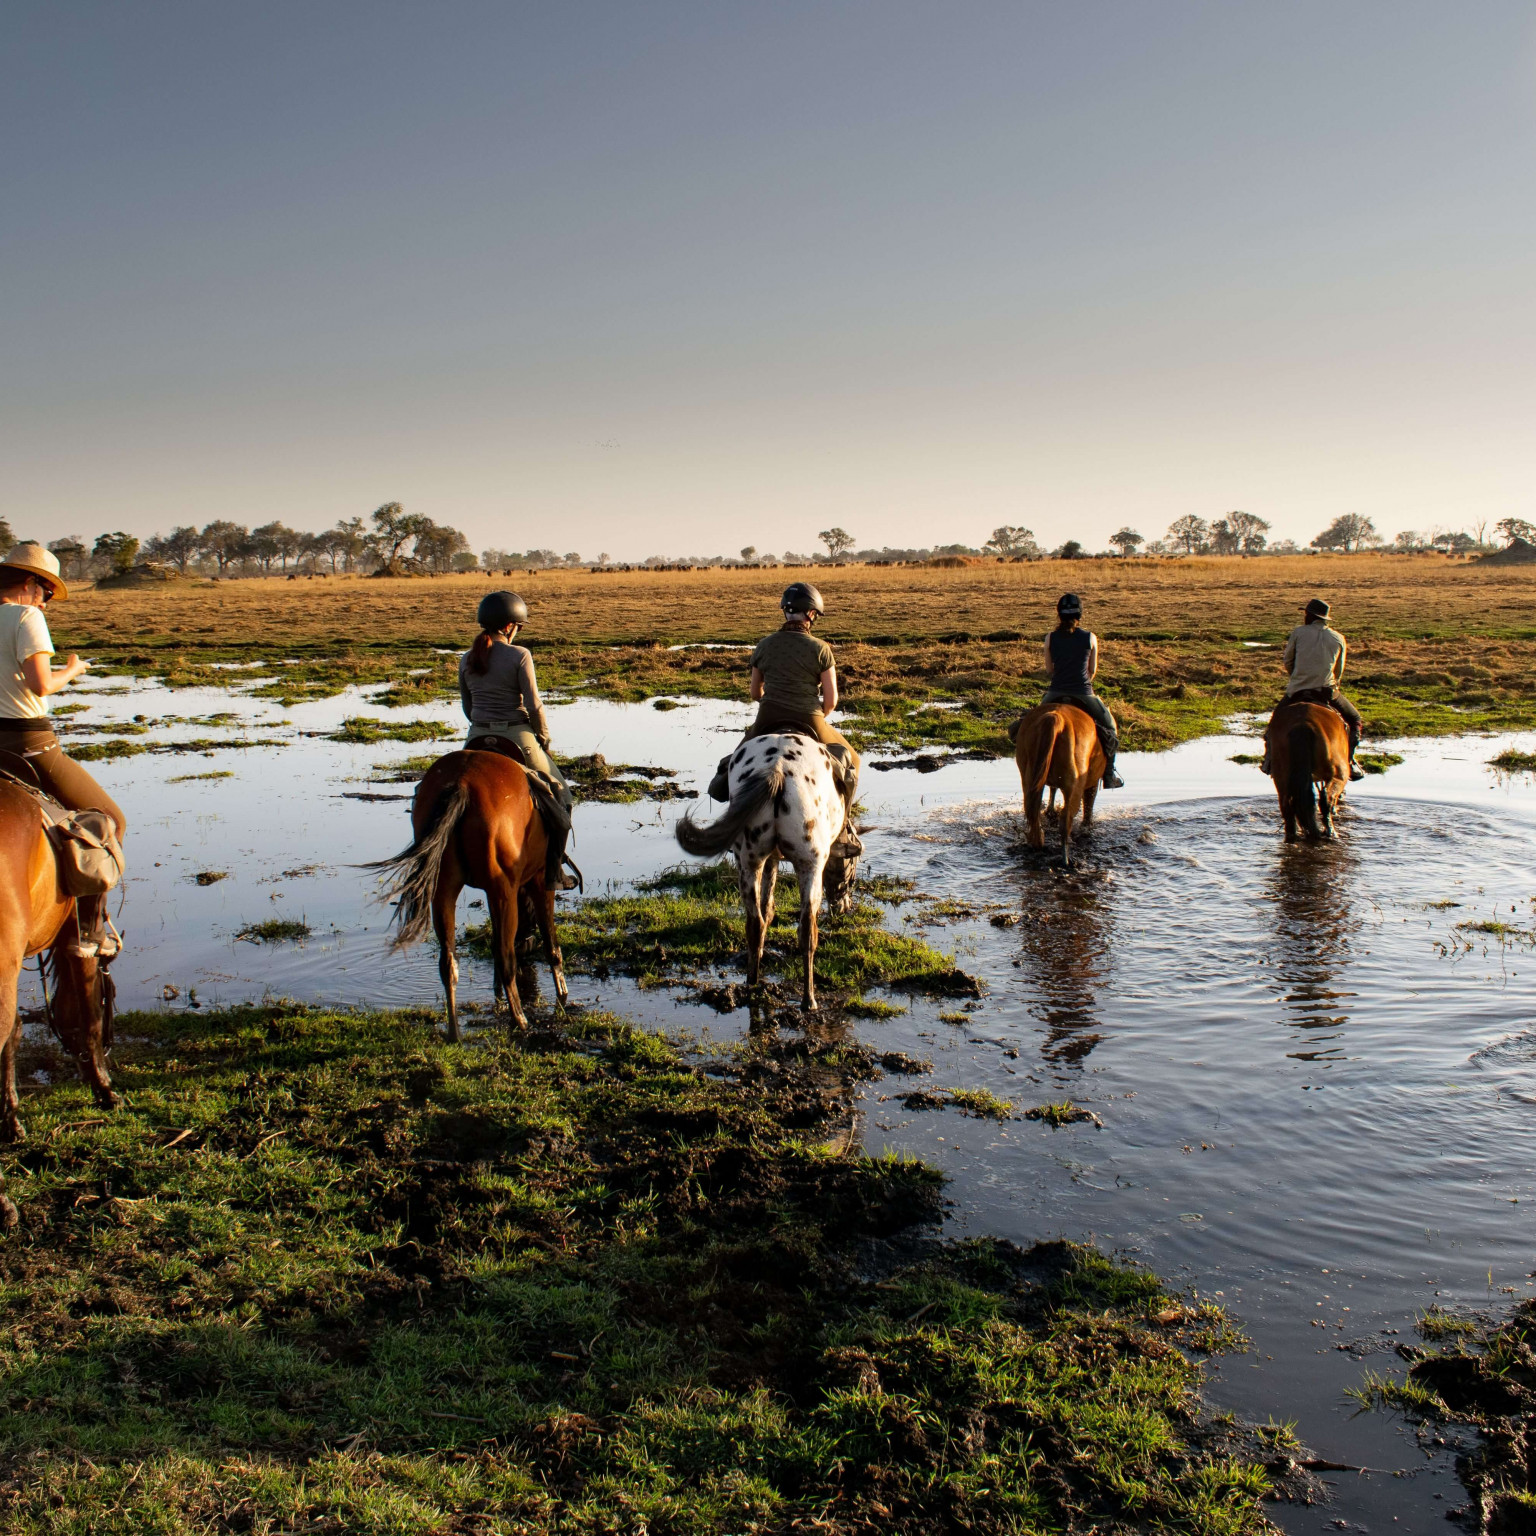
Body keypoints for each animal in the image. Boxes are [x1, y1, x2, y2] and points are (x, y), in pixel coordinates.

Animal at [368, 750, 568, 1040]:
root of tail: (462, 783)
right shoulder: (540, 881)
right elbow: (551, 944)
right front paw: (562, 995)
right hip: (501, 890)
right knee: (505, 957)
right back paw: (520, 1021)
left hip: (444, 889)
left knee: (448, 962)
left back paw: (454, 1032)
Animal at [674, 732, 859, 1011]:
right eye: (851, 869)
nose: (844, 908)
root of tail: (778, 770)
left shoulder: (769, 859)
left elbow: (767, 903)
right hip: (810, 863)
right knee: (807, 931)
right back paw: (809, 1000)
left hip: (749, 862)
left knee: (755, 924)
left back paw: (752, 982)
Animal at [1014, 702, 1107, 867]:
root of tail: (1057, 718)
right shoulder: (1092, 782)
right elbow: (1089, 803)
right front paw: (1087, 826)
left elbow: (1052, 789)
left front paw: (1050, 810)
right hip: (1073, 787)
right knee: (1065, 822)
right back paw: (1065, 860)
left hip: (1028, 779)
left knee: (1033, 814)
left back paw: (1037, 846)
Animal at [1265, 701, 1350, 843]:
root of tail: (1303, 724)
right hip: (1339, 774)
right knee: (1326, 798)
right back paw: (1330, 832)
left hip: (1281, 777)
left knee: (1287, 807)